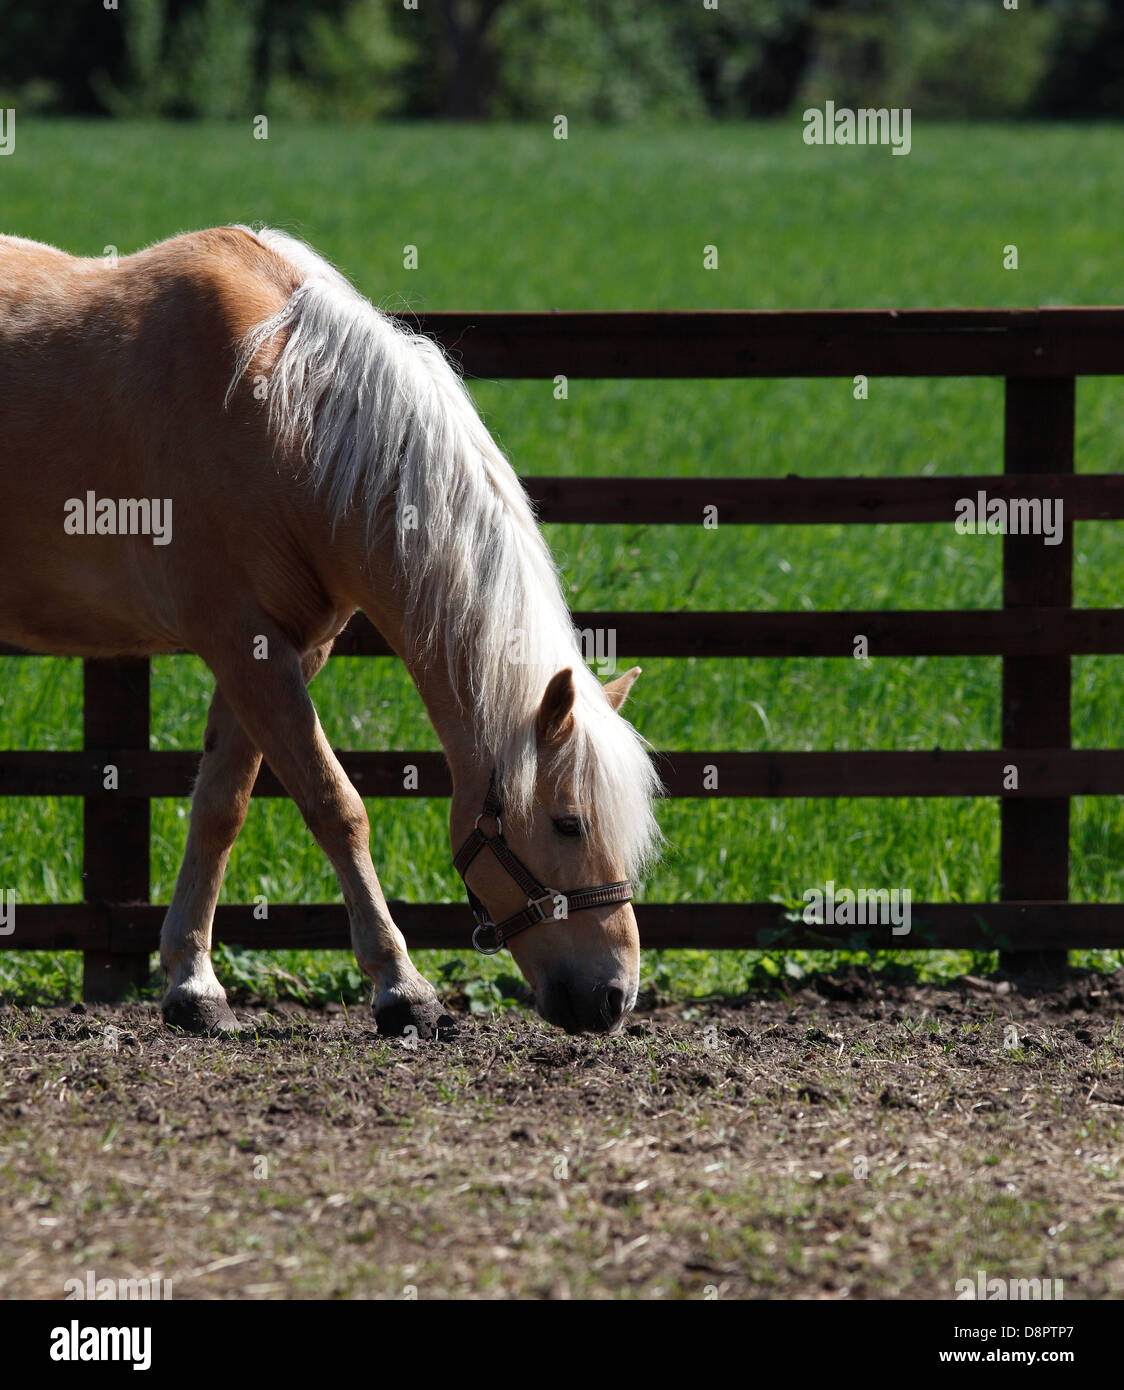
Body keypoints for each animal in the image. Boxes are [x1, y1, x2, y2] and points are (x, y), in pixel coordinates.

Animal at [0, 226, 662, 1036]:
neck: (286, 408)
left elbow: (219, 809)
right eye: (569, 823)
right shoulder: (244, 647)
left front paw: (193, 985)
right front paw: (402, 988)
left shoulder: (281, 652)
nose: (613, 997)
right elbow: (335, 805)